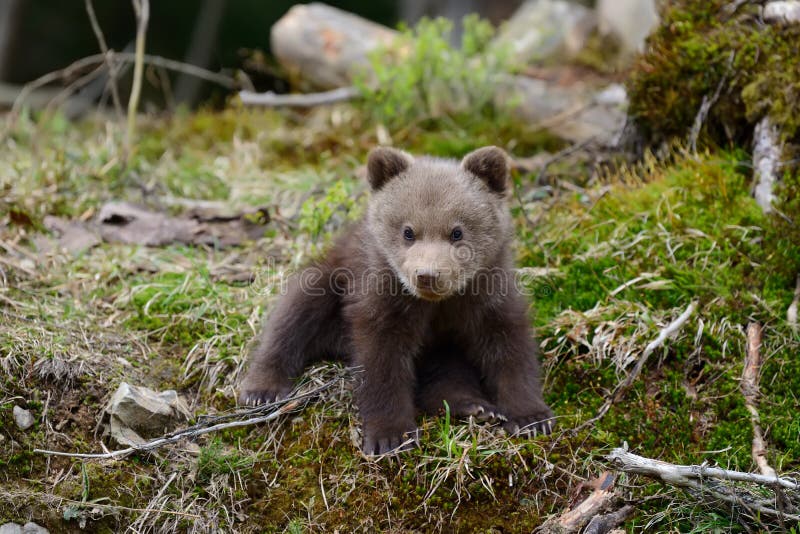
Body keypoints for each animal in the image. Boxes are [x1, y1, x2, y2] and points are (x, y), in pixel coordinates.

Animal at [238, 146, 554, 456]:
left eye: (457, 231)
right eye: (408, 231)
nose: (427, 275)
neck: (438, 304)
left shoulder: (487, 294)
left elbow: (509, 348)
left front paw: (531, 417)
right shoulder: (383, 298)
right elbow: (382, 362)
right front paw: (390, 435)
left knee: (447, 372)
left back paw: (474, 406)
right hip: (330, 279)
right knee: (293, 318)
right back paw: (261, 389)